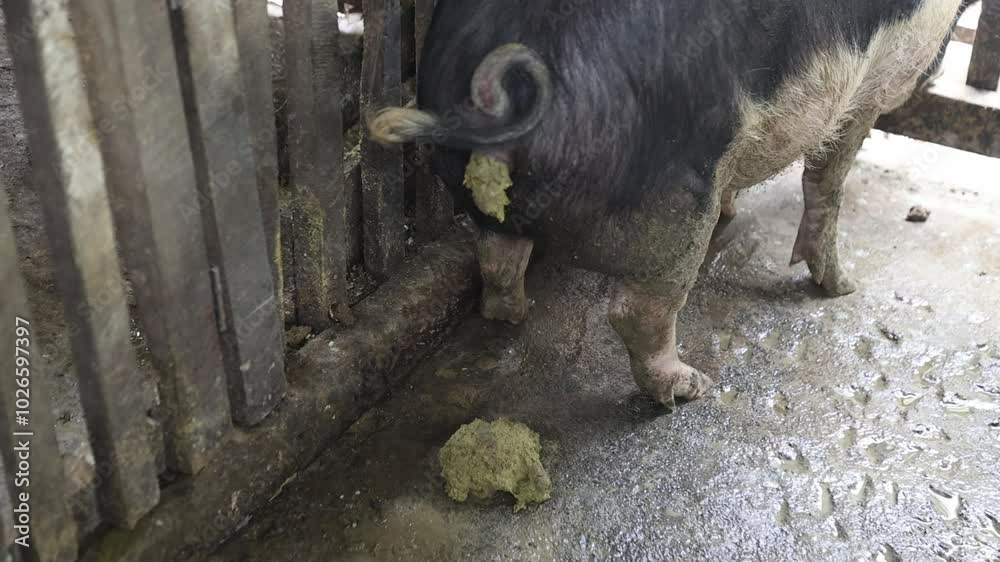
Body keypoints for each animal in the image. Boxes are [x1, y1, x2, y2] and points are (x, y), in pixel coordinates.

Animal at [368, 0, 968, 407]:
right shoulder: (874, 83)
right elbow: (830, 177)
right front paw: (843, 288)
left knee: (496, 259)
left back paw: (516, 314)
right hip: (677, 203)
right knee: (639, 312)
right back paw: (691, 387)